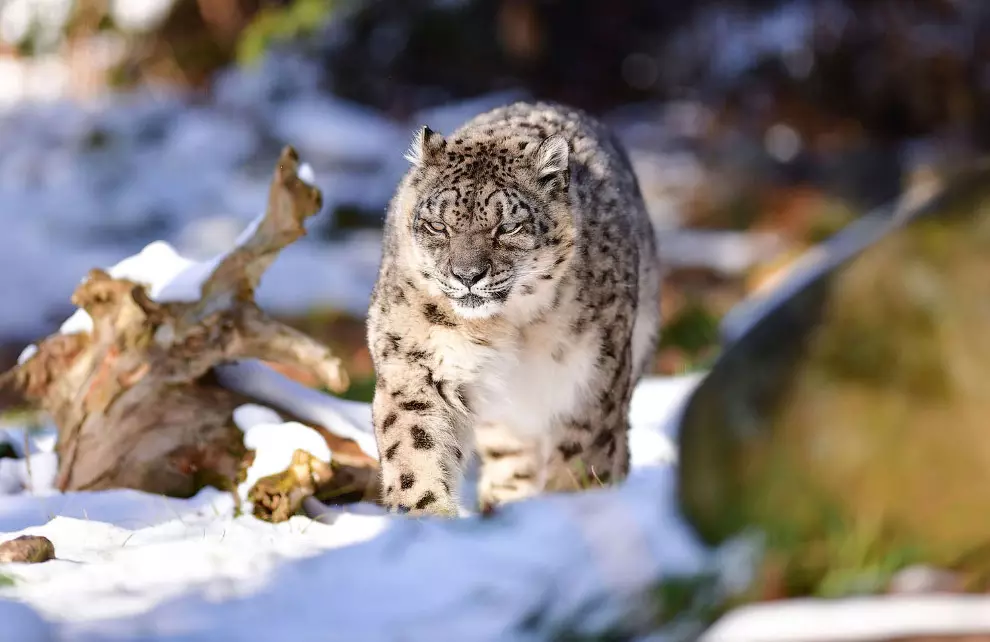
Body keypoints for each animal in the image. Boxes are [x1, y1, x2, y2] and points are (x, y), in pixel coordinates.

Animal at [364, 100, 660, 516]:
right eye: (438, 226)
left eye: (507, 227)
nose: (467, 275)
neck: (505, 326)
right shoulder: (414, 361)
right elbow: (415, 450)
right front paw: (425, 518)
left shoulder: (590, 381)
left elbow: (583, 456)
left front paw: (571, 508)